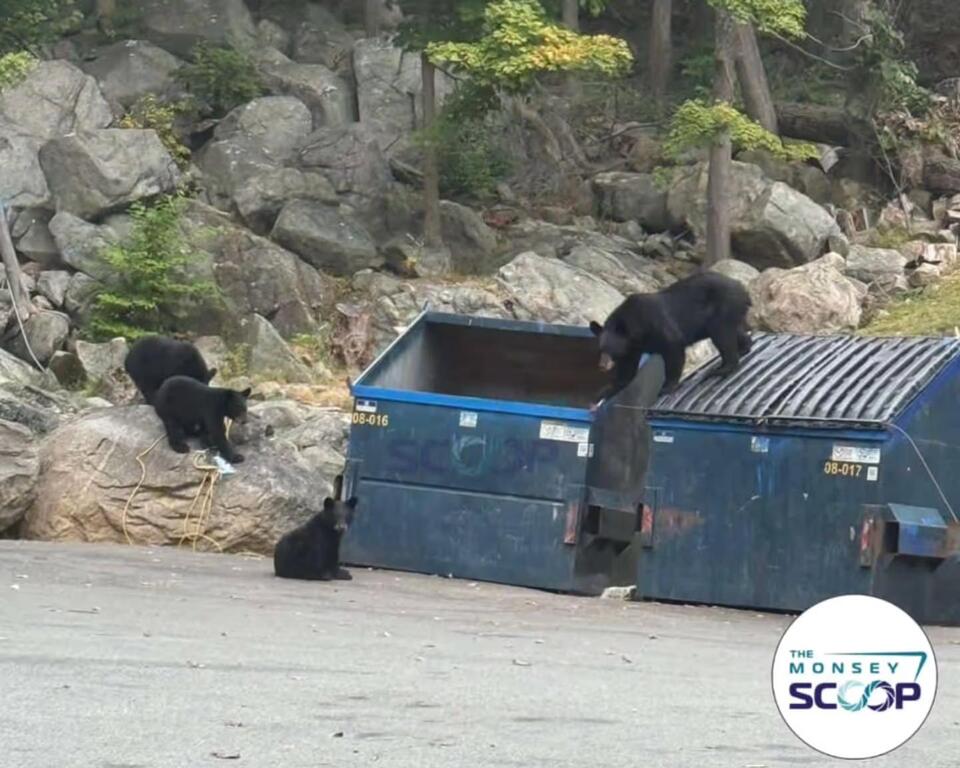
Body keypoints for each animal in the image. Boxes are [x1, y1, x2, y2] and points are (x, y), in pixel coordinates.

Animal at [589, 271, 752, 404]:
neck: (636, 330)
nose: (602, 365)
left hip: (723, 308)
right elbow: (626, 372)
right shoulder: (631, 348)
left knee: (722, 336)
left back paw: (722, 369)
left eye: (610, 350)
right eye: (601, 349)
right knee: (735, 331)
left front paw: (666, 387)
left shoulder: (657, 326)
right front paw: (603, 393)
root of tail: (742, 288)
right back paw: (744, 348)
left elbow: (673, 350)